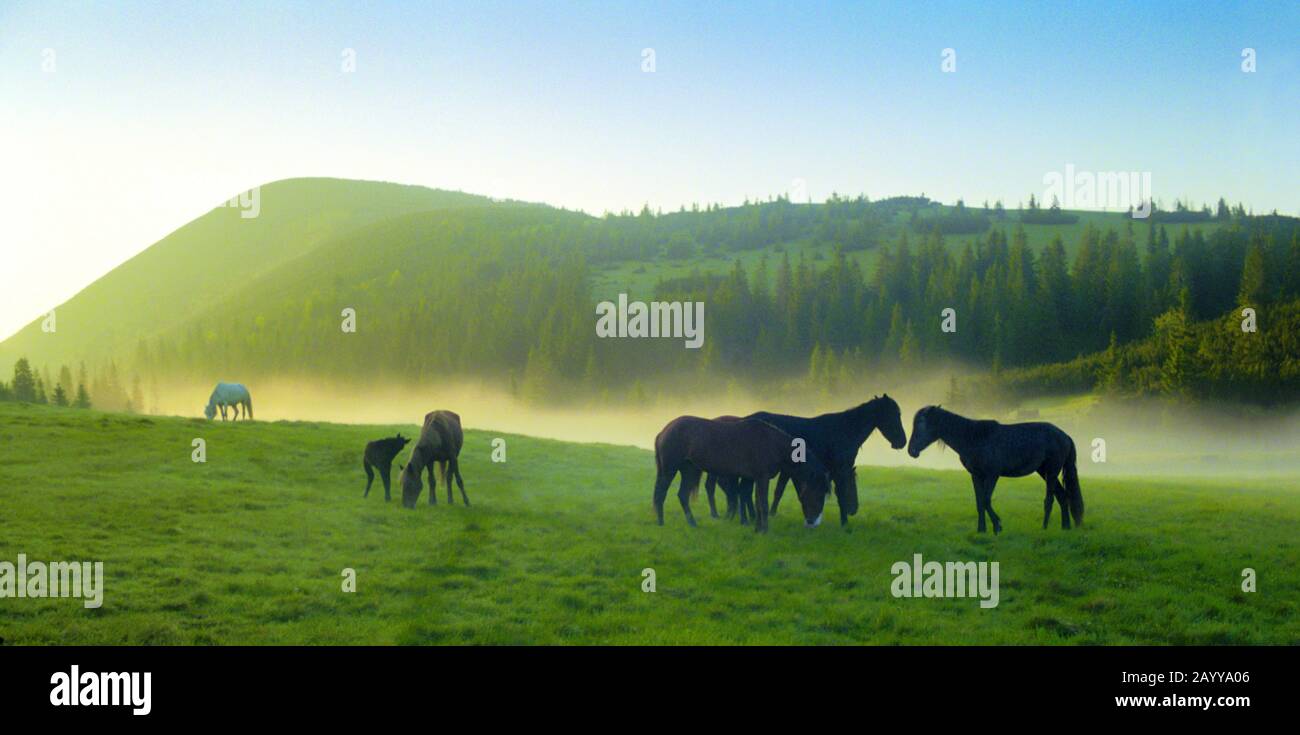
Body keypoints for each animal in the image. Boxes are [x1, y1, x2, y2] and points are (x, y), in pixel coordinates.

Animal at [653, 416, 831, 532]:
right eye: (818, 493)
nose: (812, 520)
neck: (773, 444)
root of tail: (664, 430)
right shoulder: (762, 478)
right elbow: (763, 504)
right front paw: (764, 530)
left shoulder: (754, 478)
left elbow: (756, 502)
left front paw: (757, 528)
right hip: (669, 470)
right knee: (661, 494)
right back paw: (661, 523)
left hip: (689, 470)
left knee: (682, 495)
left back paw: (692, 523)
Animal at [751, 394, 908, 527]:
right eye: (893, 415)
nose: (902, 441)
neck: (844, 431)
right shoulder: (838, 471)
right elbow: (841, 495)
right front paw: (844, 523)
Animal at [906, 405, 1084, 534]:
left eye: (921, 425)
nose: (911, 450)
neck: (974, 438)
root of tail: (1065, 436)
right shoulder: (976, 476)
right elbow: (979, 502)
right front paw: (982, 530)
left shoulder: (992, 475)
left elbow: (986, 500)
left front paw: (997, 525)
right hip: (1044, 471)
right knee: (1063, 496)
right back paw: (1065, 527)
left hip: (1052, 472)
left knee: (1050, 500)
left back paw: (1045, 527)